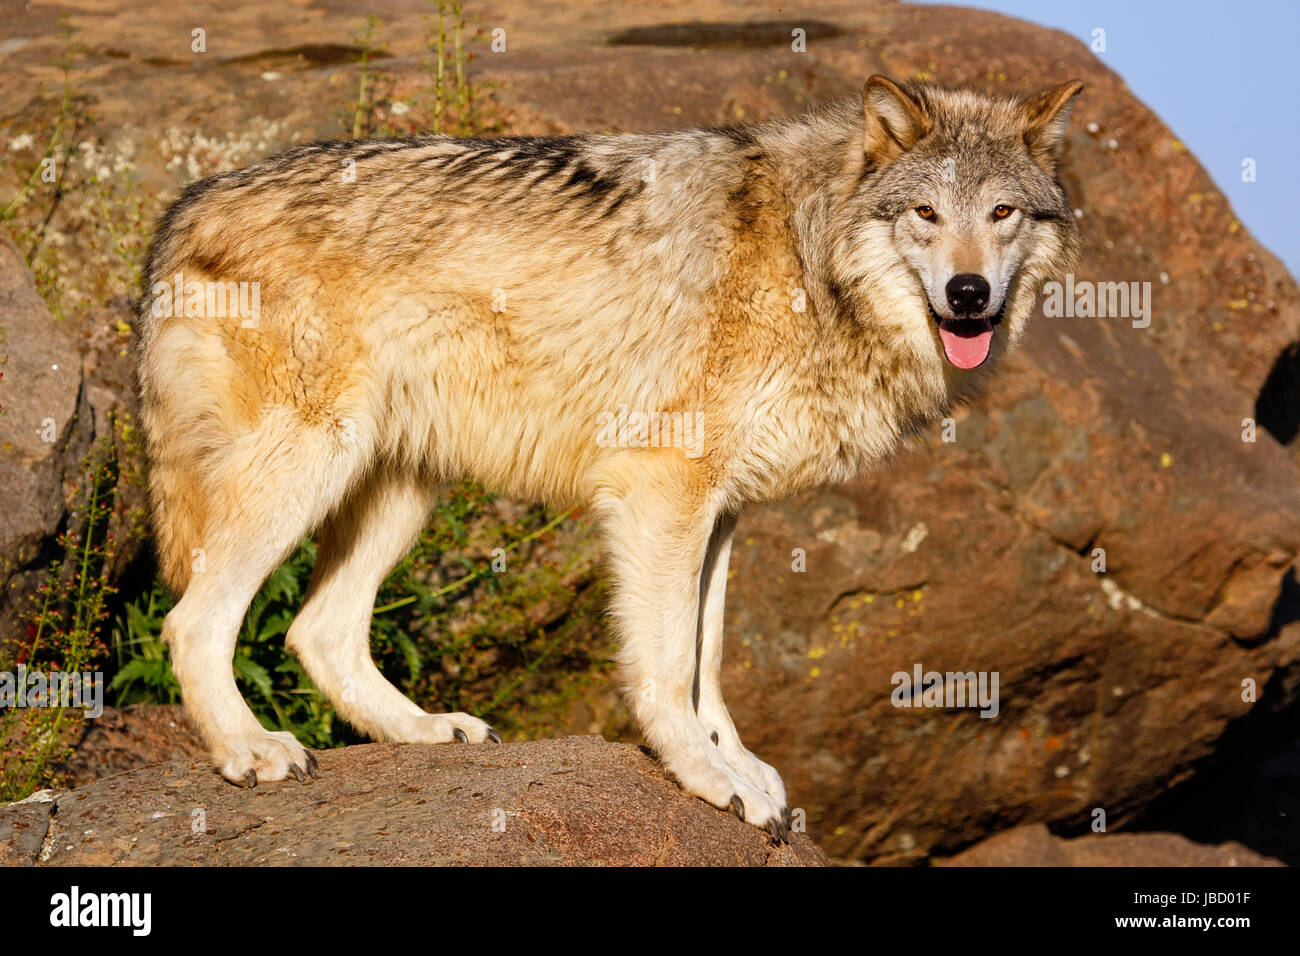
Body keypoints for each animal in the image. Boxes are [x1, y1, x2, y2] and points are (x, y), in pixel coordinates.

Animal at [137, 75, 1082, 840]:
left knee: (320, 631)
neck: (809, 257)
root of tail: (185, 205)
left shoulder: (721, 509)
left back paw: (426, 733)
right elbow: (666, 665)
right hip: (308, 470)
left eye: (1001, 214)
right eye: (927, 214)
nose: (969, 294)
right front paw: (707, 778)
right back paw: (250, 750)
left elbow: (707, 659)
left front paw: (735, 763)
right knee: (194, 621)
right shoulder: (662, 489)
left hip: (400, 488)